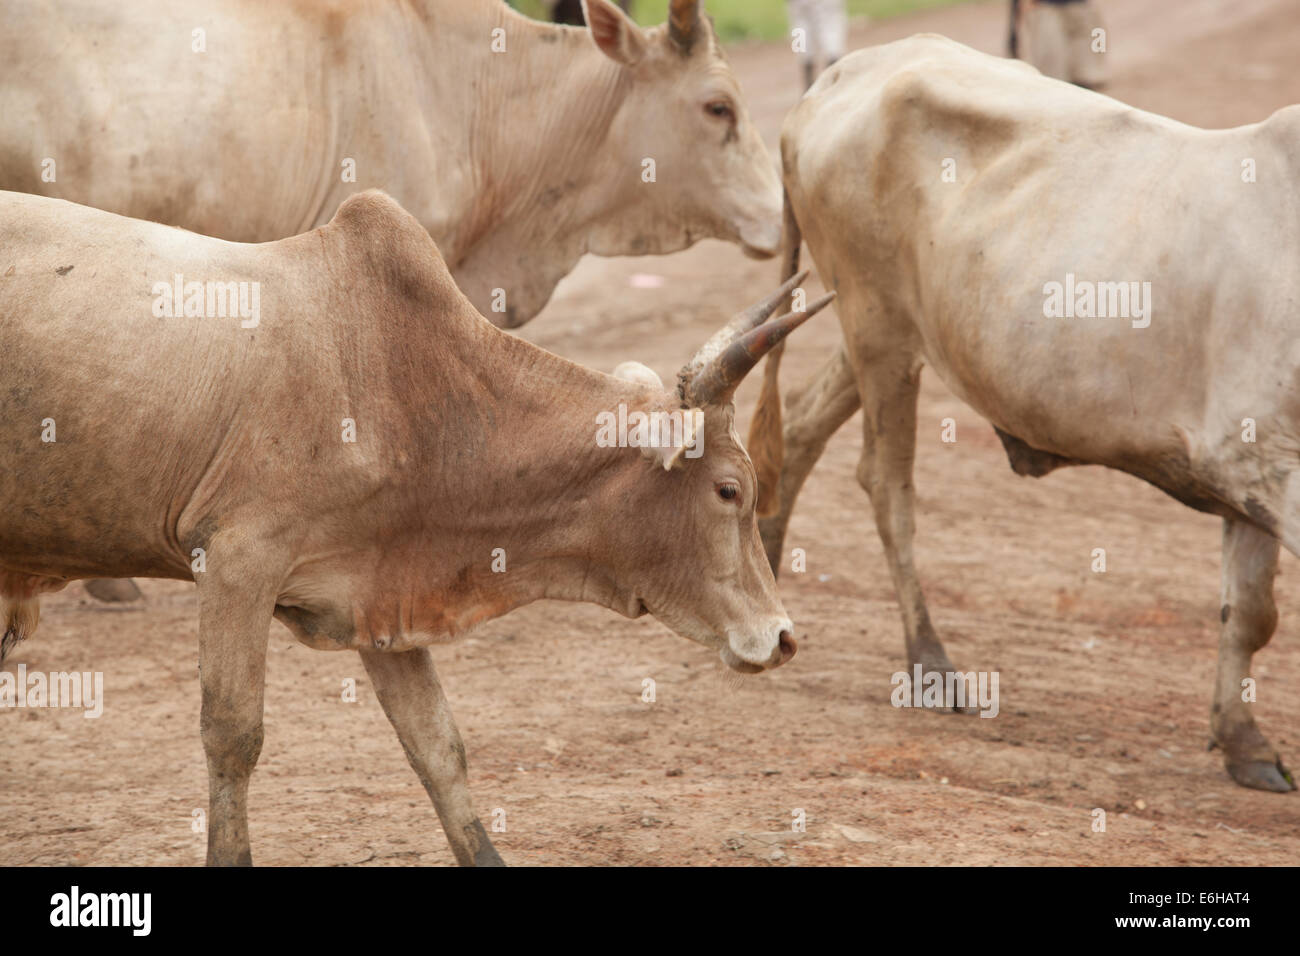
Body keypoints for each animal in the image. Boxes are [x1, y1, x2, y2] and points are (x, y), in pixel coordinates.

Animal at [0, 188, 831, 865]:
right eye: (729, 490)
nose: (784, 637)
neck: (413, 394)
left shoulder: (381, 599)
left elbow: (439, 747)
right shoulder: (237, 562)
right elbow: (234, 737)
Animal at [748, 34, 1299, 793]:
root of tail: (840, 75)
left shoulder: (1253, 467)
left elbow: (1249, 611)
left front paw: (1244, 741)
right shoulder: (1262, 460)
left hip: (882, 335)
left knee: (800, 427)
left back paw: (770, 568)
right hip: (875, 325)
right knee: (887, 488)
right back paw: (930, 661)